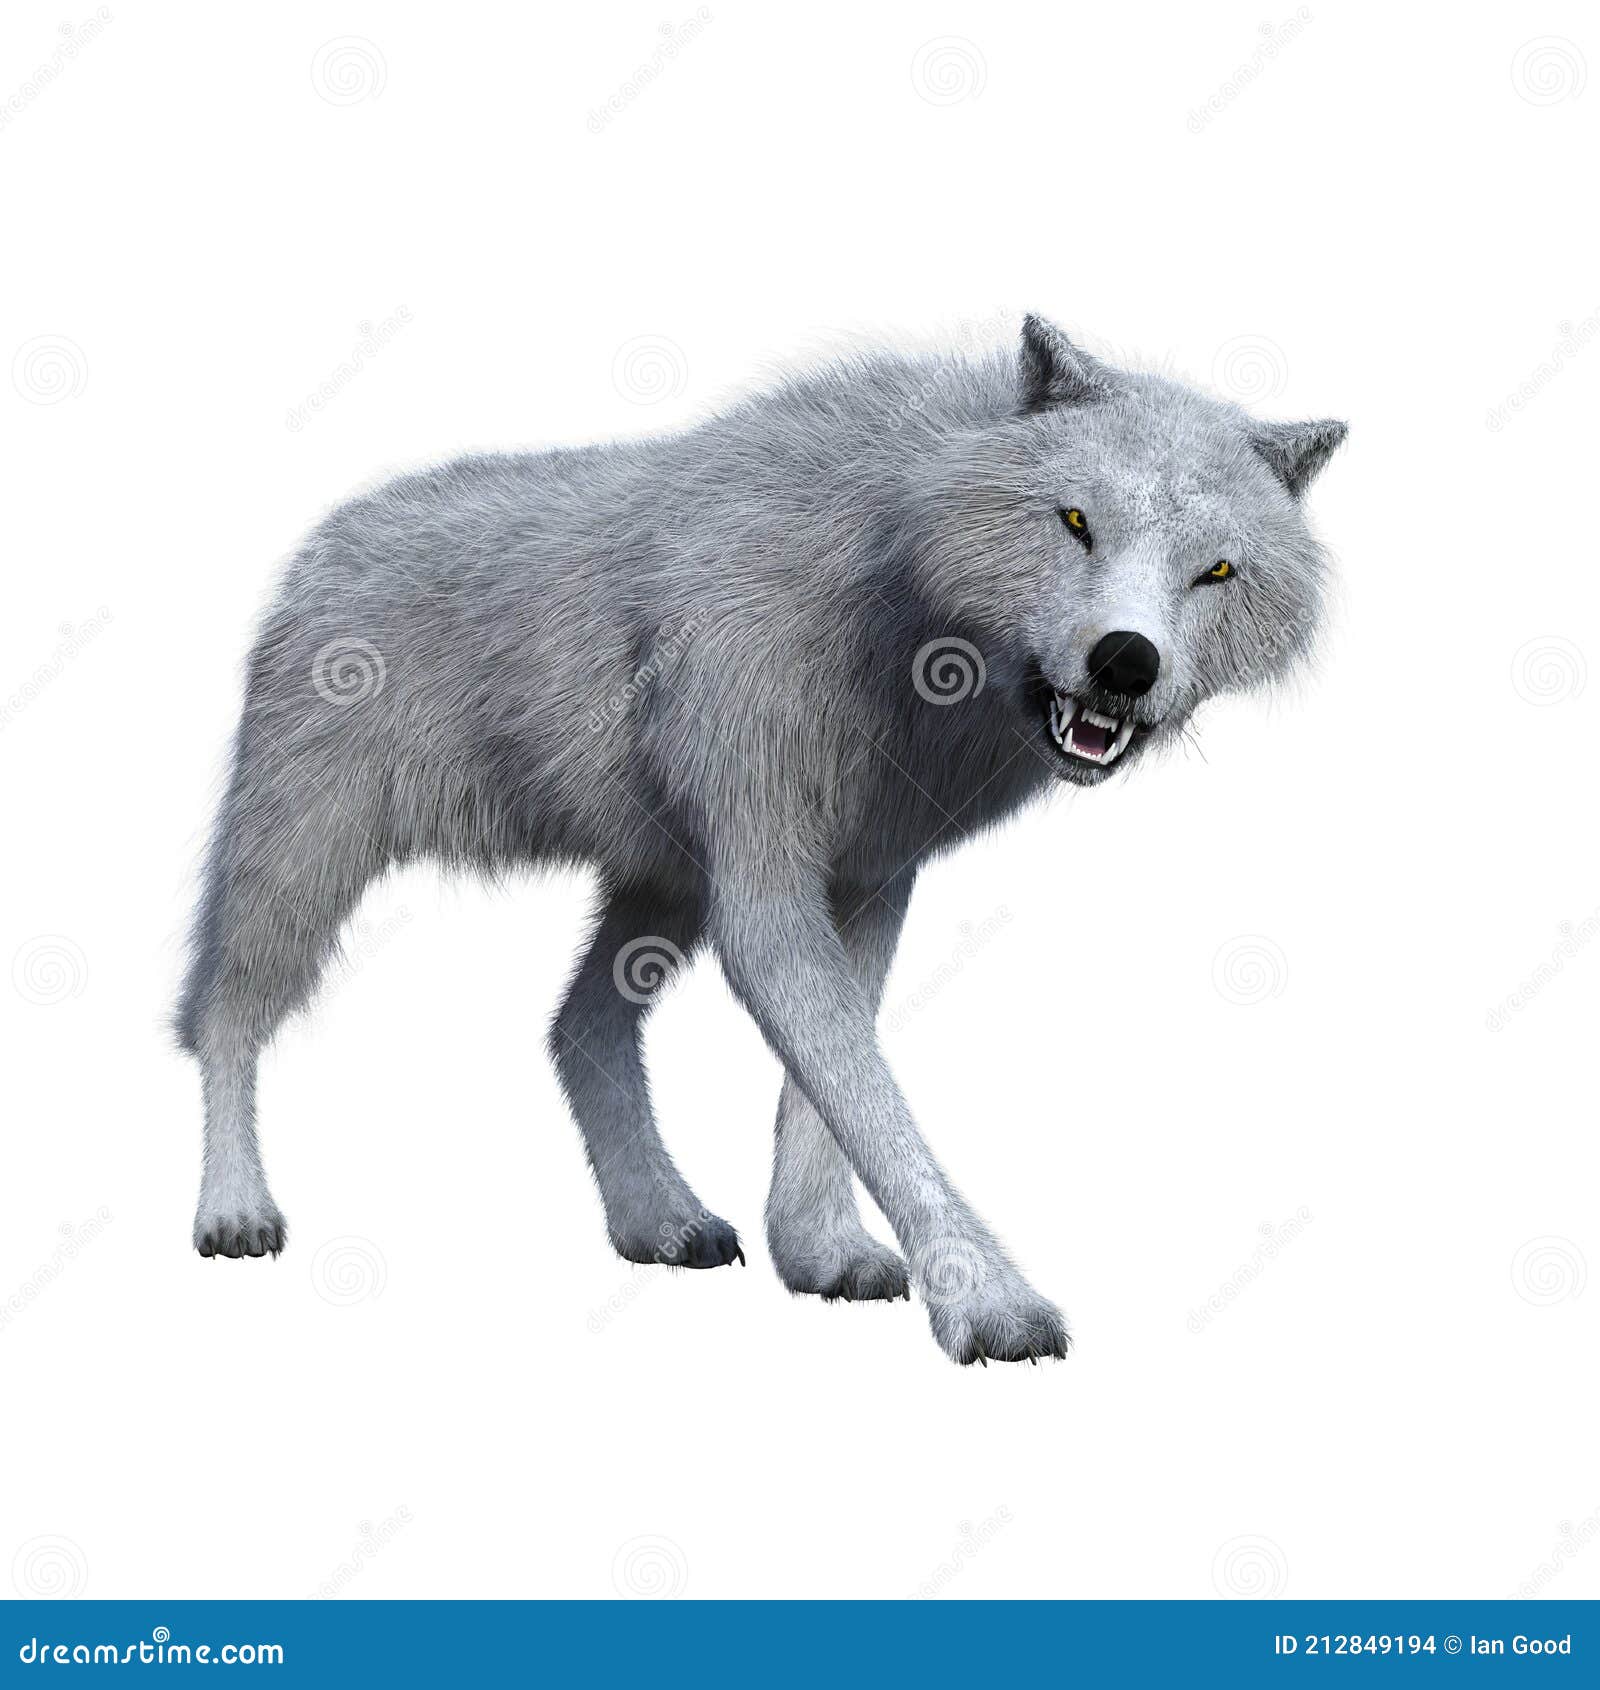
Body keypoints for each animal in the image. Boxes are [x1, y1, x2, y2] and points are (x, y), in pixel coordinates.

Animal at [176, 315, 1344, 1365]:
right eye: (1074, 521)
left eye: (1218, 572)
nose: (1125, 663)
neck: (900, 616)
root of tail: (325, 536)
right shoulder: (762, 889)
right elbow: (863, 1089)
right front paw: (989, 1304)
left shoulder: (868, 878)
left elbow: (835, 1082)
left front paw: (821, 1252)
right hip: (305, 857)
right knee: (220, 1018)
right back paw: (234, 1209)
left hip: (656, 895)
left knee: (574, 1027)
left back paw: (659, 1220)